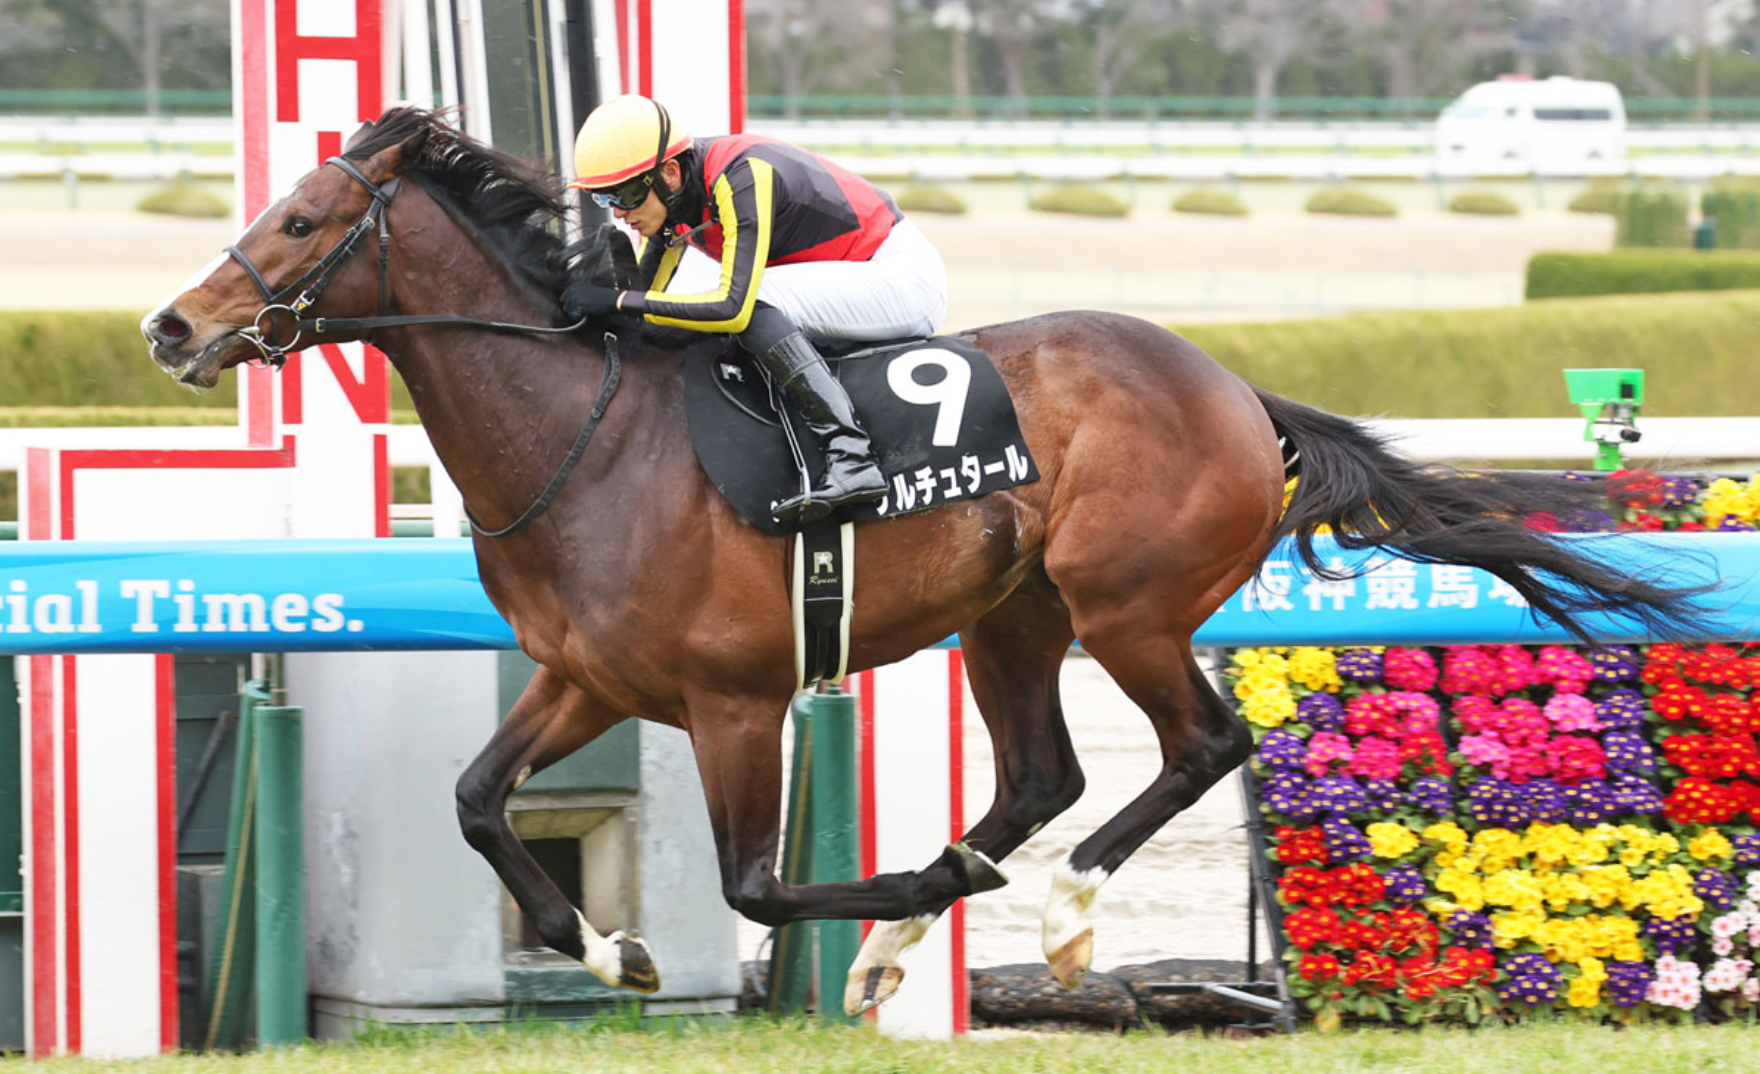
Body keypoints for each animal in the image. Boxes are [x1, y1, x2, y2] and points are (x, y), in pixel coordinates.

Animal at [140, 108, 1704, 1016]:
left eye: (299, 220)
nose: (170, 325)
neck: (587, 437)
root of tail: (1235, 390)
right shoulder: (587, 680)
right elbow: (475, 799)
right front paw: (607, 950)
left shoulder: (734, 701)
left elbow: (760, 887)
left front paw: (873, 911)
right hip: (1013, 616)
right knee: (1041, 778)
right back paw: (936, 918)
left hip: (1129, 606)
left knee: (1201, 746)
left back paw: (1053, 913)